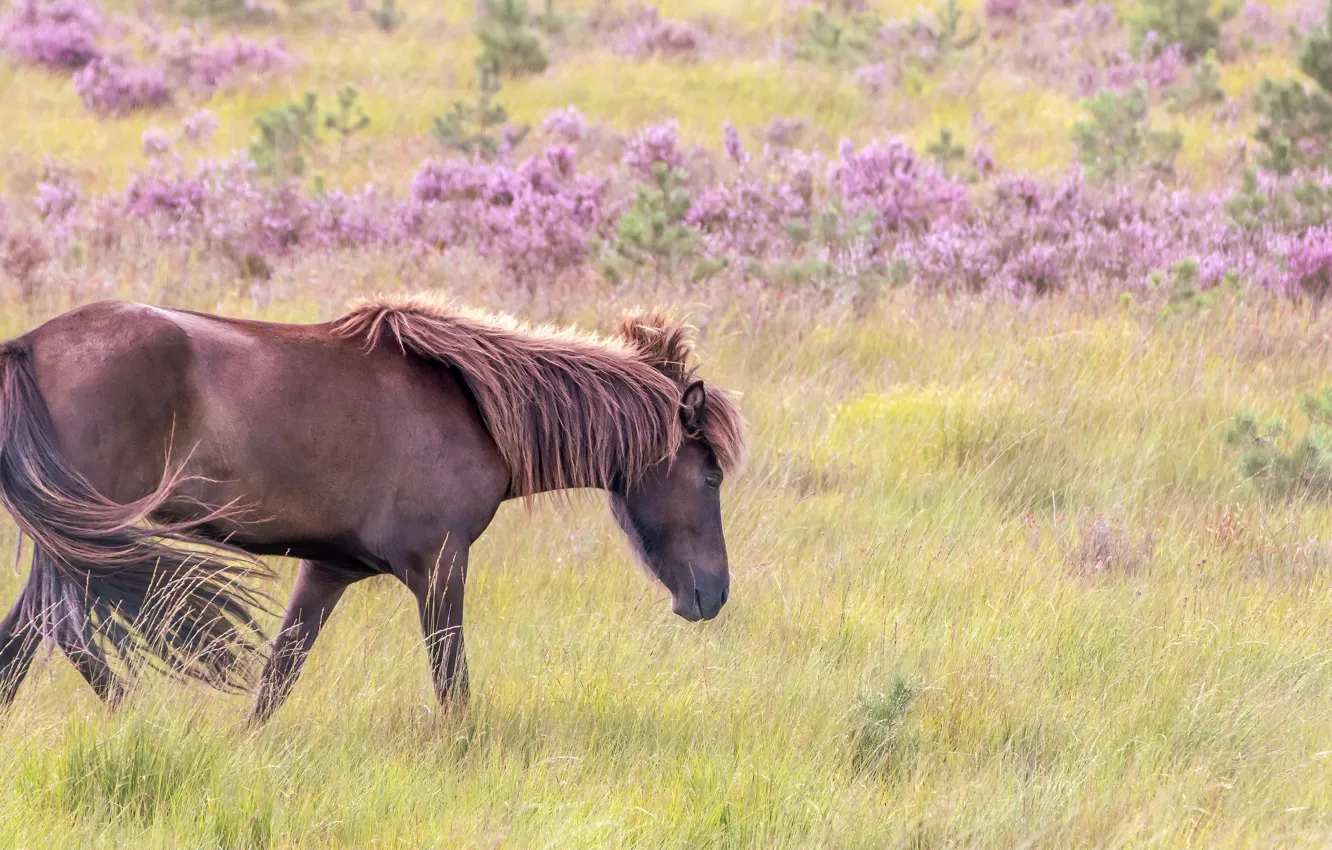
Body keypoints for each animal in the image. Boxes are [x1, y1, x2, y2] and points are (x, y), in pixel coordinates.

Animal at [0, 296, 744, 722]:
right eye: (709, 475)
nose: (712, 595)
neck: (475, 409)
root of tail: (28, 347)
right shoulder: (440, 567)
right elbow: (452, 686)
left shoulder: (327, 571)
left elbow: (277, 680)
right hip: (88, 534)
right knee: (60, 633)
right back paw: (138, 719)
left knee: (30, 636)